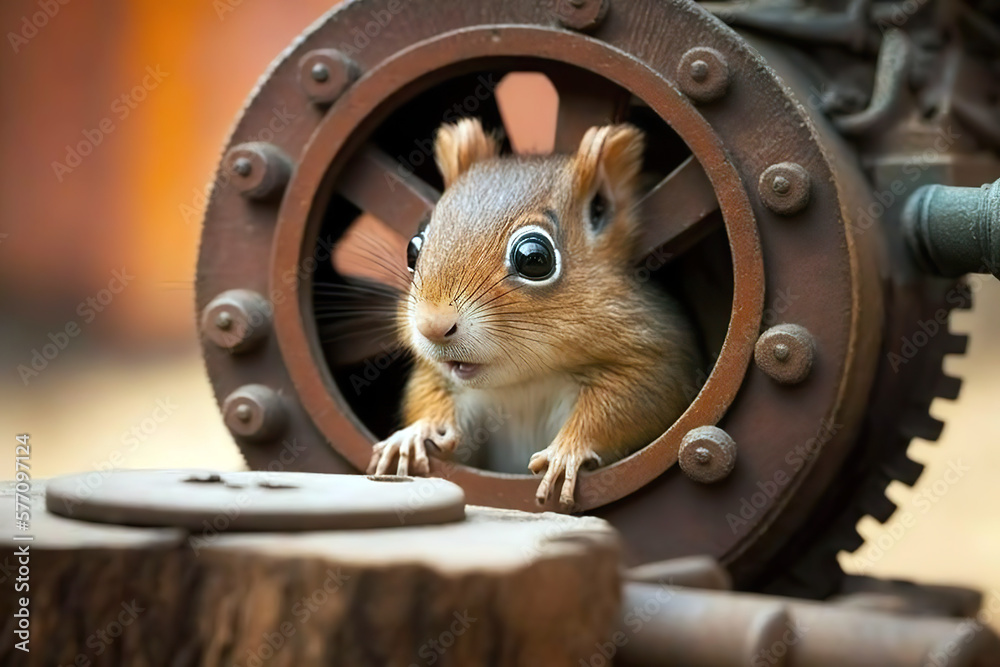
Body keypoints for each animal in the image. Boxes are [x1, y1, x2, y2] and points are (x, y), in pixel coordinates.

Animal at [367, 117, 701, 509]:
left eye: (534, 259)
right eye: (412, 249)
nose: (432, 325)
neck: (525, 380)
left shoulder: (656, 356)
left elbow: (627, 407)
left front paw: (567, 452)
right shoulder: (447, 383)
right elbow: (435, 404)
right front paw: (414, 433)